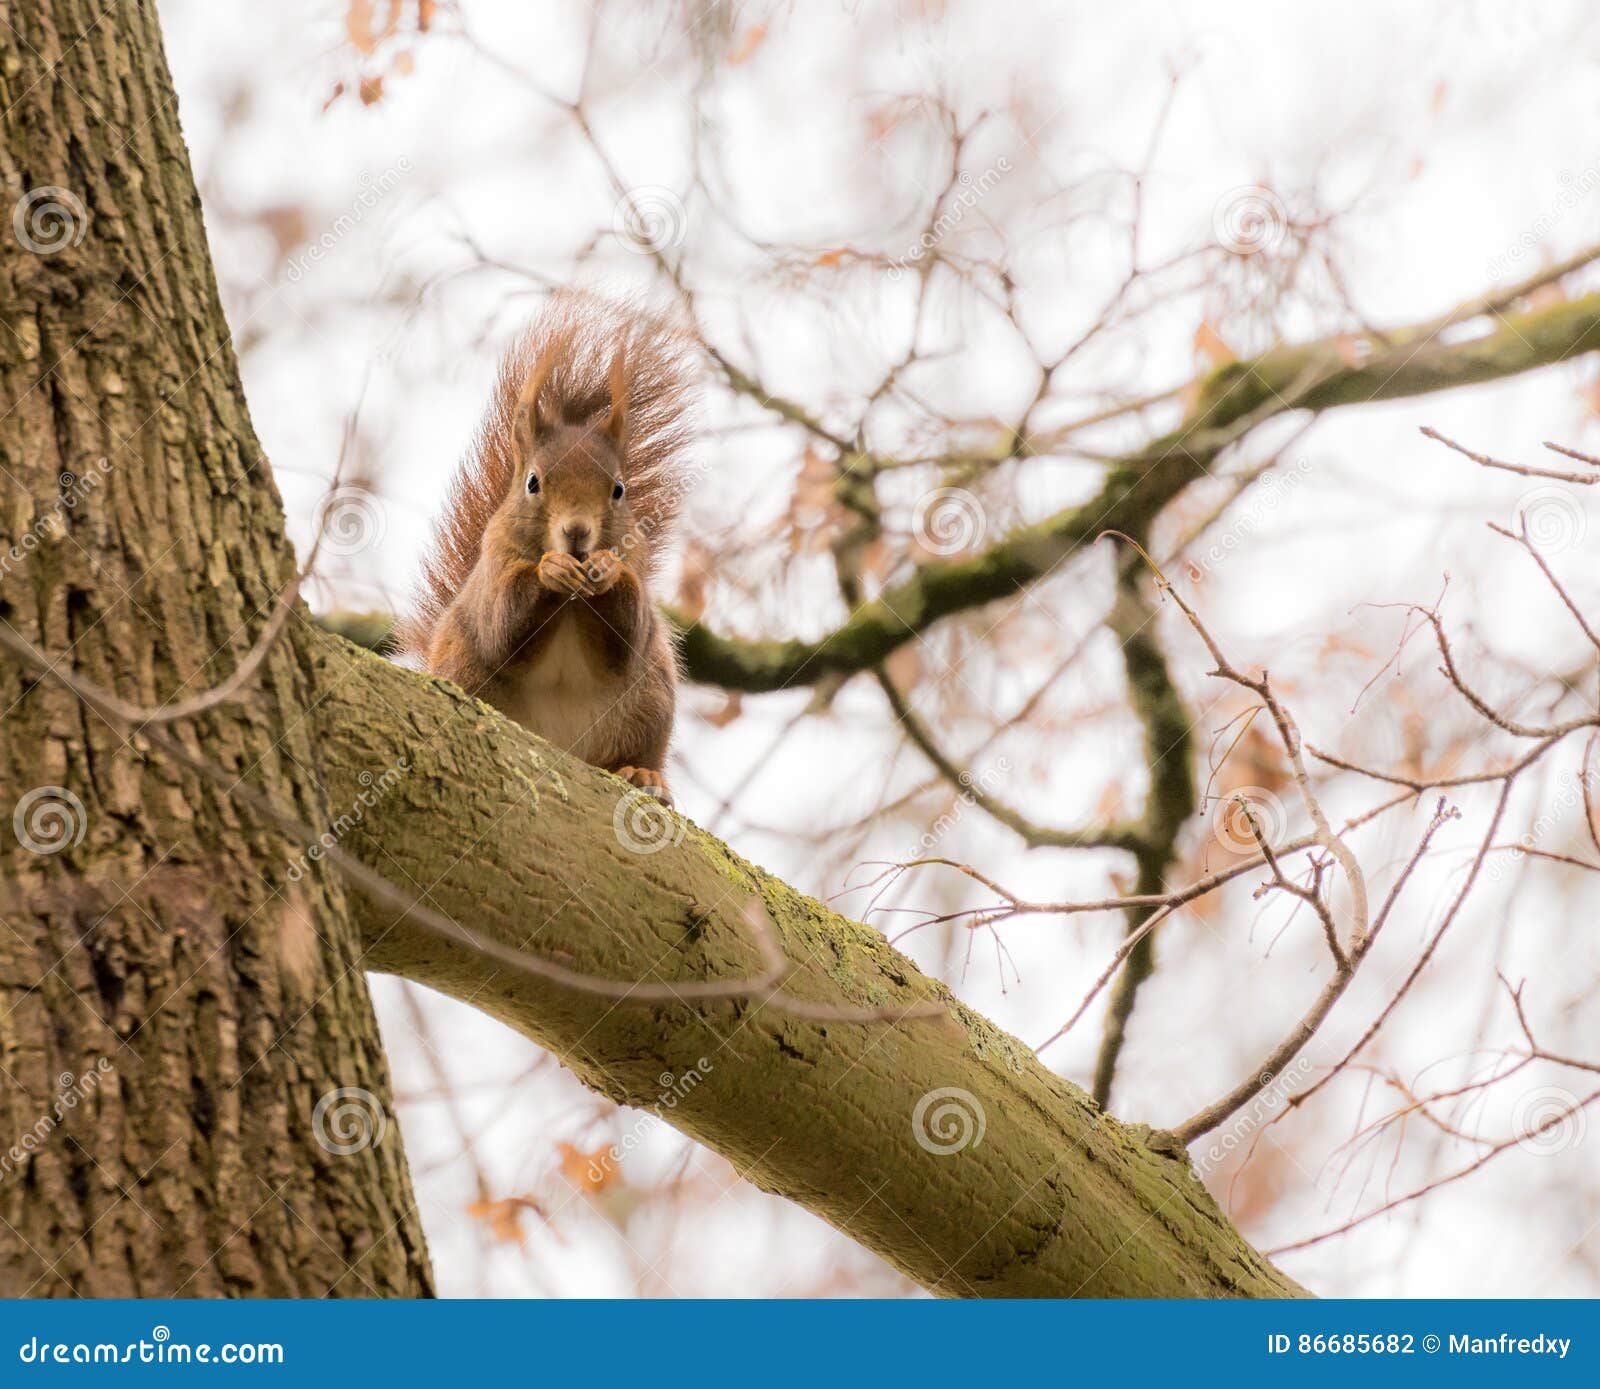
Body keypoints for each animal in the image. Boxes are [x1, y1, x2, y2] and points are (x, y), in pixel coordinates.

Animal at [401, 293, 694, 805]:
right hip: (464, 668)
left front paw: (605, 569)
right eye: (533, 482)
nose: (576, 532)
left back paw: (642, 774)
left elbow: (628, 634)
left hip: (651, 700)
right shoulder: (494, 567)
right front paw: (550, 571)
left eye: (619, 489)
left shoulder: (634, 576)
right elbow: (502, 625)